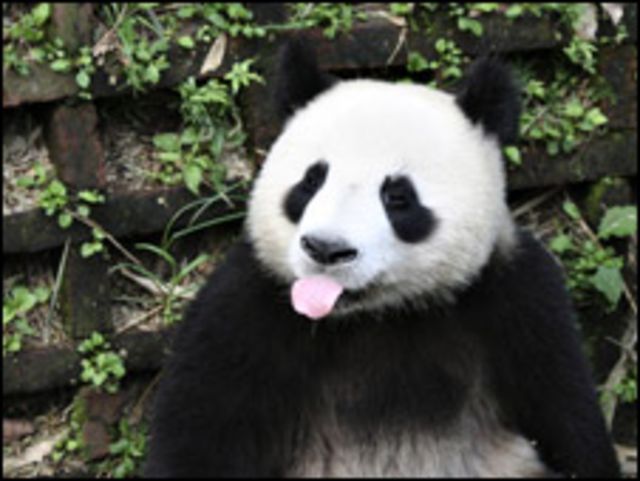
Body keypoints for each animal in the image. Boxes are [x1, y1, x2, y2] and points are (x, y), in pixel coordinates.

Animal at [144, 38, 620, 478]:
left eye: (398, 197)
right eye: (312, 180)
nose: (326, 249)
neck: (374, 317)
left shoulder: (518, 305)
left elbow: (572, 431)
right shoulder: (245, 311)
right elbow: (198, 433)